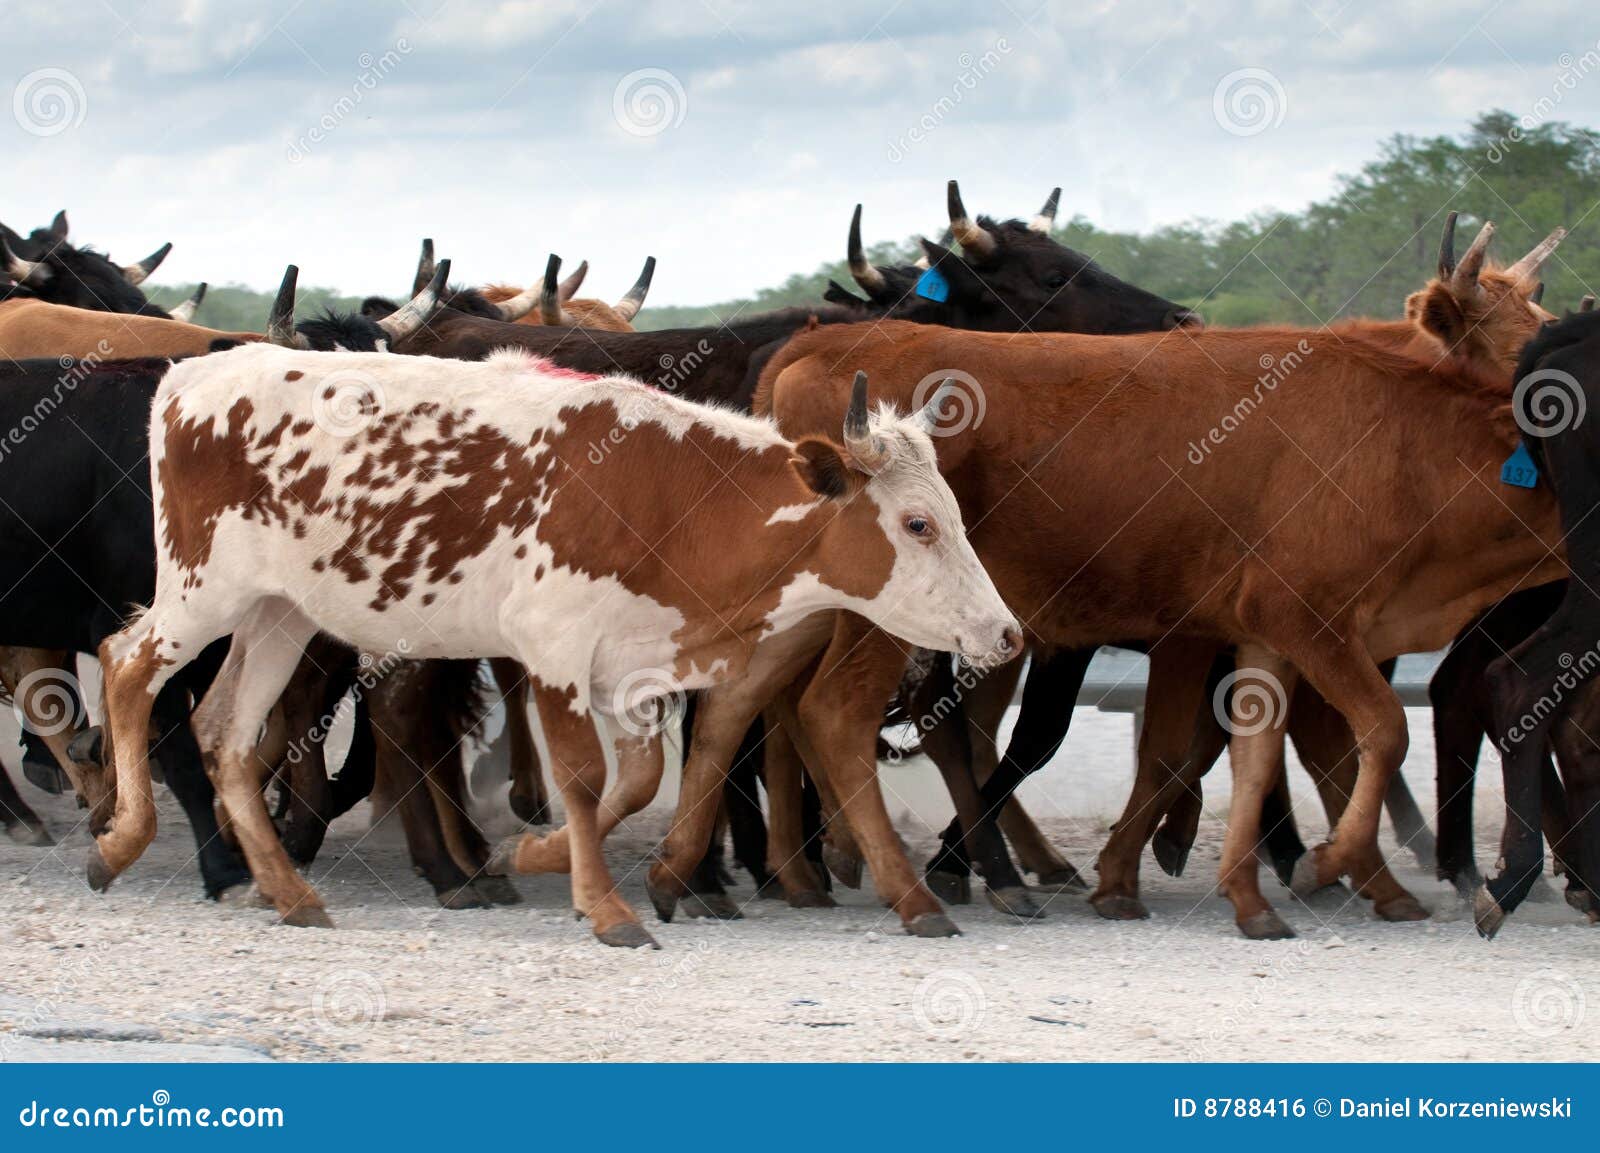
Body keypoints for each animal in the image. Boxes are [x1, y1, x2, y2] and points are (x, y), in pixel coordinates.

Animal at [91, 357, 1020, 947]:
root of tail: (195, 374)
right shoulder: (554, 648)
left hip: (277, 613)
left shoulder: (635, 664)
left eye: (953, 513)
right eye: (916, 524)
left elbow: (637, 779)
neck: (672, 491)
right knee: (126, 665)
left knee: (226, 732)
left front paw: (532, 855)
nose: (1006, 633)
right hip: (202, 591)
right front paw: (605, 907)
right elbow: (581, 776)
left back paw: (286, 890)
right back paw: (120, 841)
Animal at [640, 217, 1568, 940]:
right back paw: (910, 888)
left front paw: (1250, 884)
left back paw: (703, 872)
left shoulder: (1250, 631)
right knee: (833, 714)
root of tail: (817, 347)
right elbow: (1351, 735)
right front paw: (1328, 865)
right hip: (881, 621)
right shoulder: (1289, 625)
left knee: (748, 704)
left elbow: (1247, 750)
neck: (1392, 425)